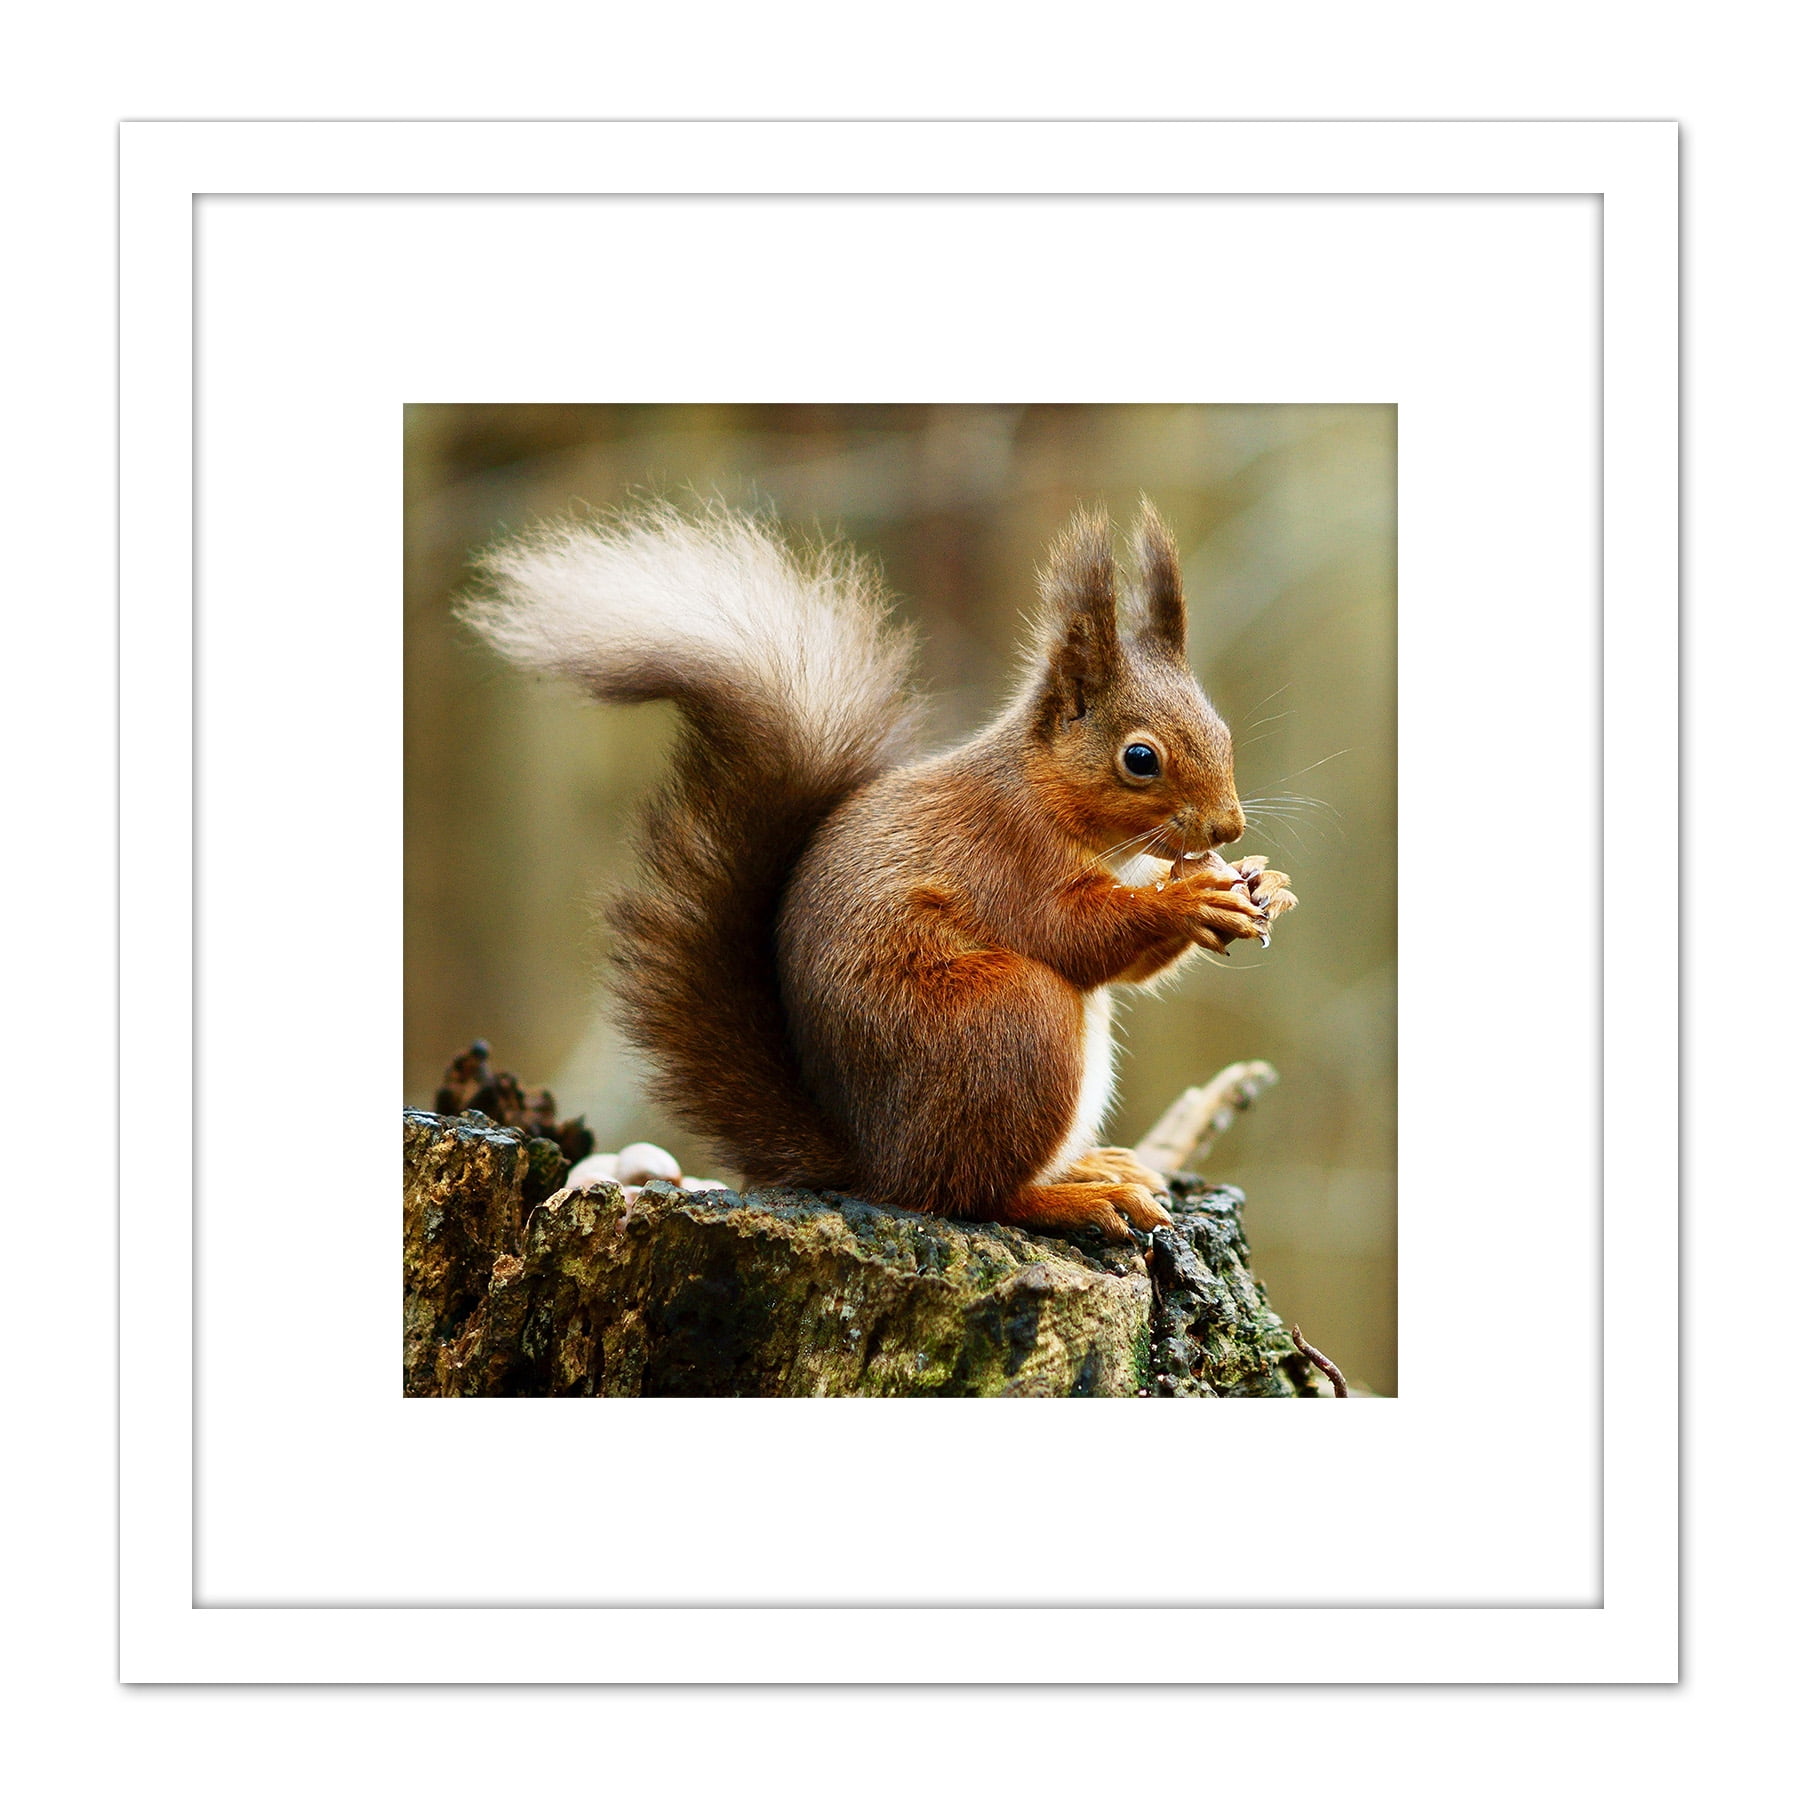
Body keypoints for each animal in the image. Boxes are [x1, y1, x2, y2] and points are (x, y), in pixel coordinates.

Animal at [464, 500, 1297, 1242]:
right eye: (1140, 758)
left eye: (1221, 730)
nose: (1228, 827)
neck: (1047, 796)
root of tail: (875, 1165)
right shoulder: (1004, 855)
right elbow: (1074, 934)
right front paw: (1191, 898)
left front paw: (1265, 882)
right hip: (1009, 1020)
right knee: (969, 1195)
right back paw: (1072, 1198)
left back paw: (1094, 1167)